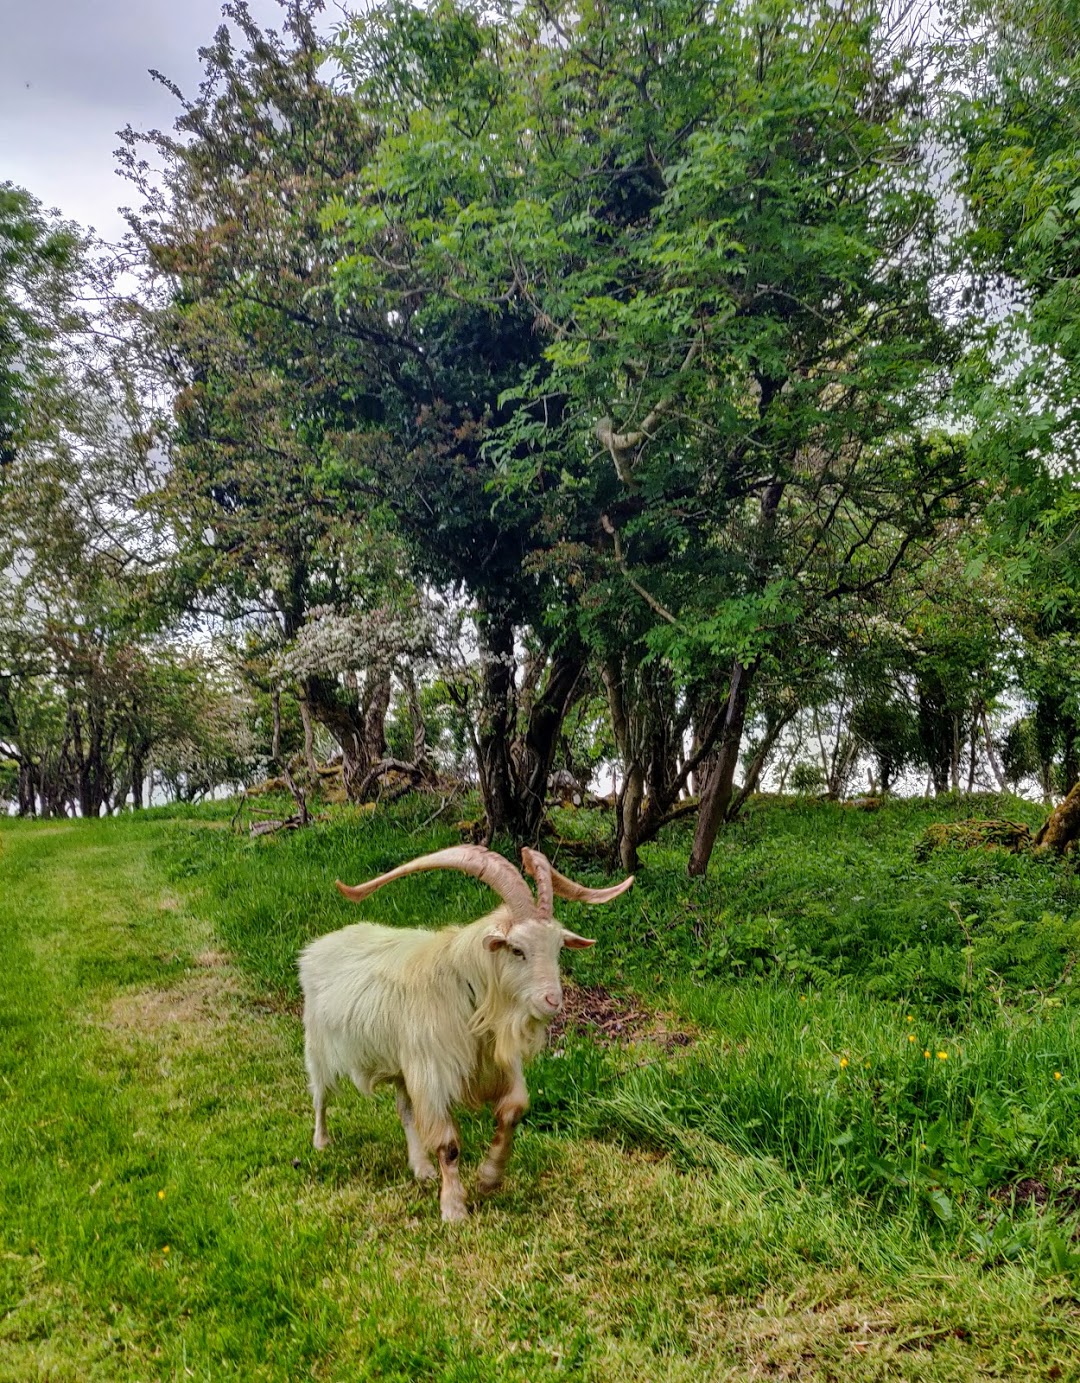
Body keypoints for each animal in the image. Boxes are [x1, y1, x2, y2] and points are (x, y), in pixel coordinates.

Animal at [298, 845, 633, 1220]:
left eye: (558, 948)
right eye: (517, 950)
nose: (552, 1001)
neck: (470, 991)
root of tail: (318, 946)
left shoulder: (495, 1066)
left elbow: (513, 1111)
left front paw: (489, 1178)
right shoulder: (433, 1073)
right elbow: (449, 1145)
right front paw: (454, 1208)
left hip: (401, 1066)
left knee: (405, 1110)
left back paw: (421, 1168)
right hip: (318, 1046)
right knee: (320, 1095)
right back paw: (322, 1142)